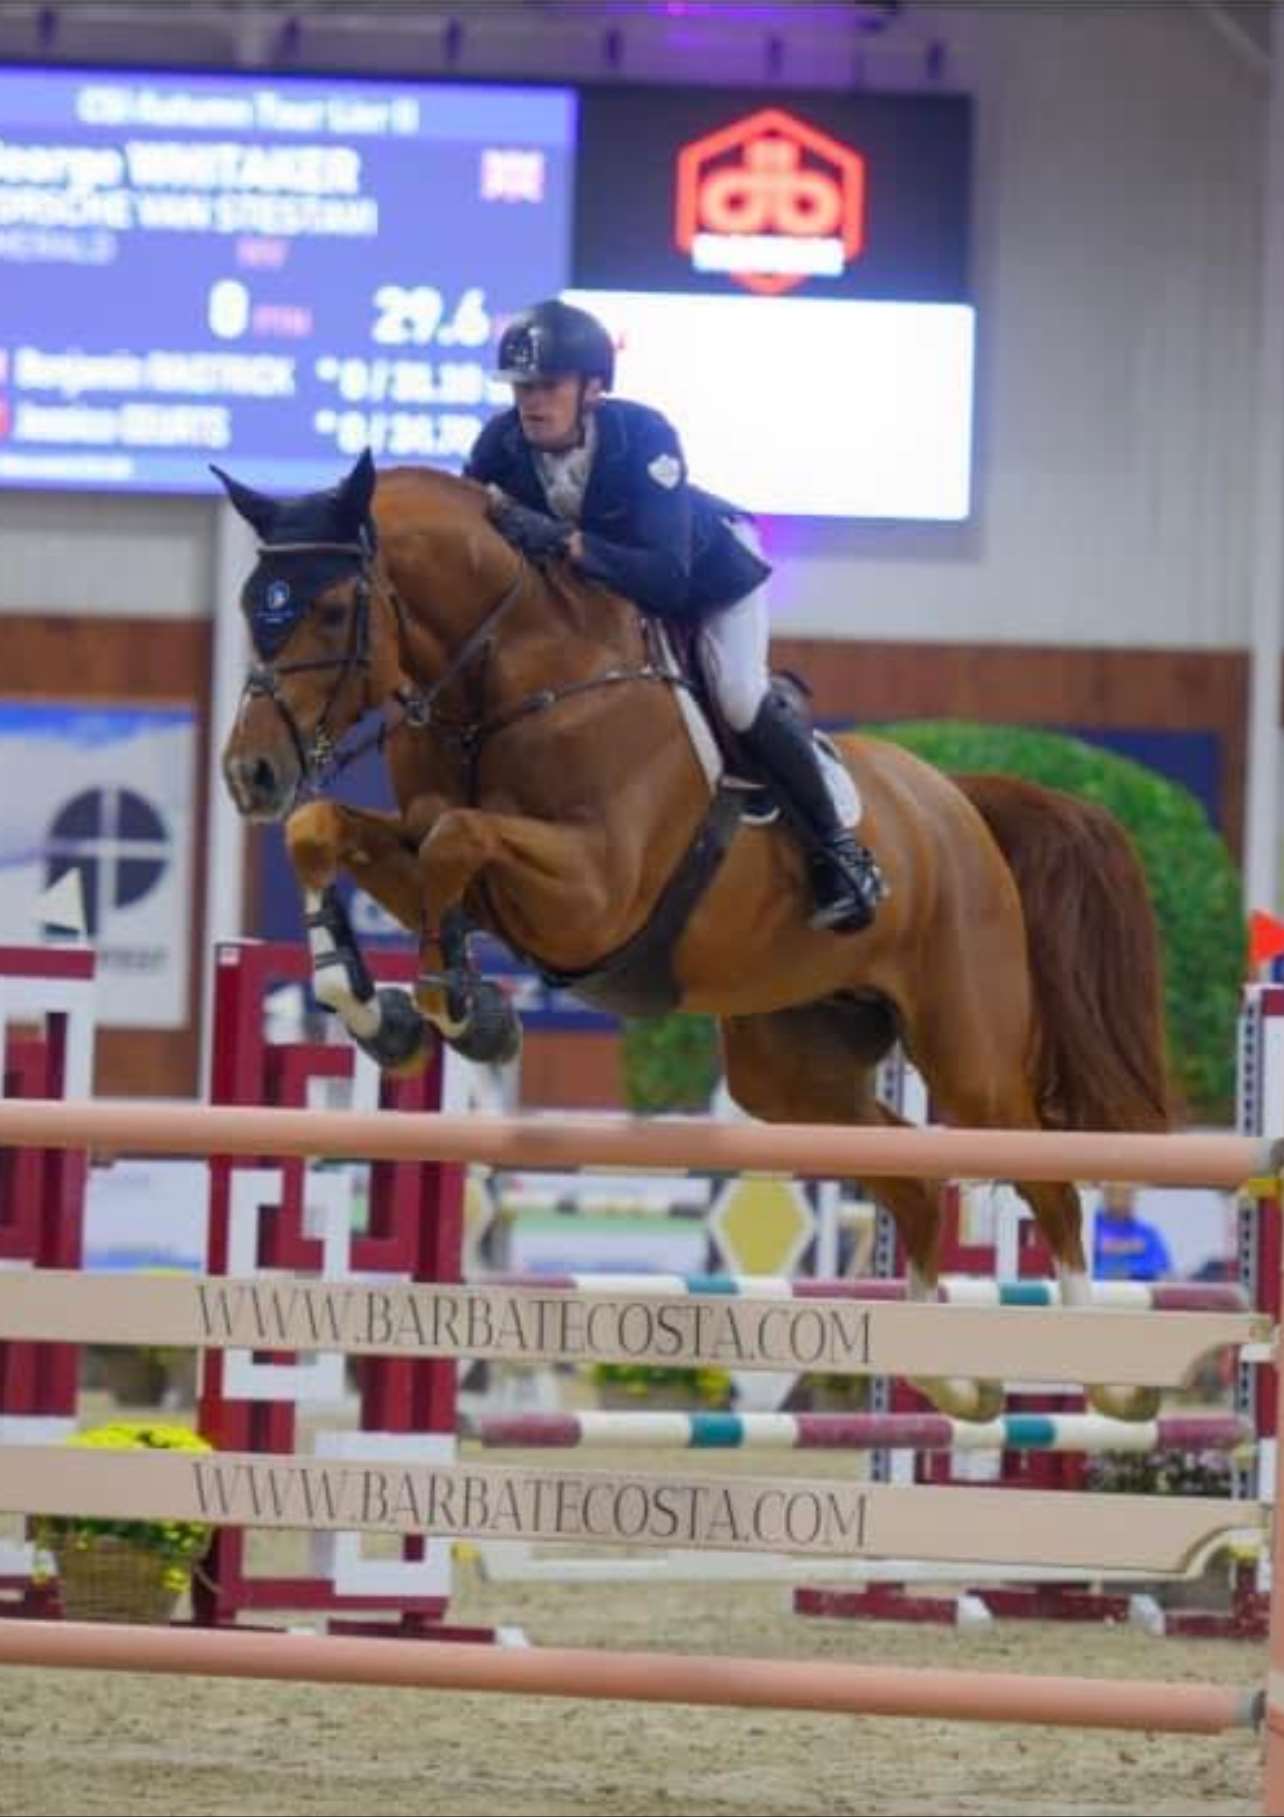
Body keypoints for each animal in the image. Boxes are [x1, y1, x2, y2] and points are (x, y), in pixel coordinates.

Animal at [218, 449, 1172, 1424]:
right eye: (258, 599)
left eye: (331, 607)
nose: (250, 773)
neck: (508, 676)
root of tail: (959, 801)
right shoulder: (429, 858)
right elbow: (330, 832)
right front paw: (379, 1008)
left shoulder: (592, 889)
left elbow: (458, 837)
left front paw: (461, 1008)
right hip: (788, 1068)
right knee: (913, 1181)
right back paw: (952, 1376)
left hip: (969, 1051)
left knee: (1045, 1177)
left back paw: (1107, 1375)